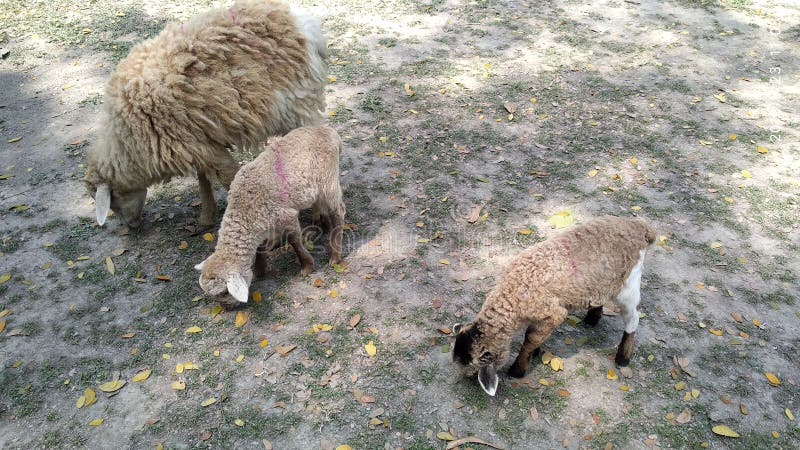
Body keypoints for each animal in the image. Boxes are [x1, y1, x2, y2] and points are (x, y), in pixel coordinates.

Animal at [83, 0, 328, 229]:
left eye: (114, 201)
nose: (131, 227)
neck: (129, 141)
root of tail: (304, 22)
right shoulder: (197, 144)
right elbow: (203, 179)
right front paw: (207, 216)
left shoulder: (203, 149)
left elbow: (229, 179)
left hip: (299, 102)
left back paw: (320, 213)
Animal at [194, 126, 344, 306]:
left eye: (224, 292)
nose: (227, 308)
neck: (244, 210)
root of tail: (328, 130)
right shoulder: (263, 224)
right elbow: (260, 248)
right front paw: (259, 270)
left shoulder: (286, 216)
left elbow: (295, 242)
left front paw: (307, 266)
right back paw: (322, 224)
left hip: (328, 180)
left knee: (338, 211)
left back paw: (335, 254)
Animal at [451, 216, 656, 396]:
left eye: (472, 370)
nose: (466, 379)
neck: (512, 293)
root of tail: (642, 228)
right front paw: (536, 353)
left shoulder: (554, 313)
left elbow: (531, 337)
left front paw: (518, 369)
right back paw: (592, 318)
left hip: (629, 284)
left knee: (633, 317)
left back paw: (622, 358)